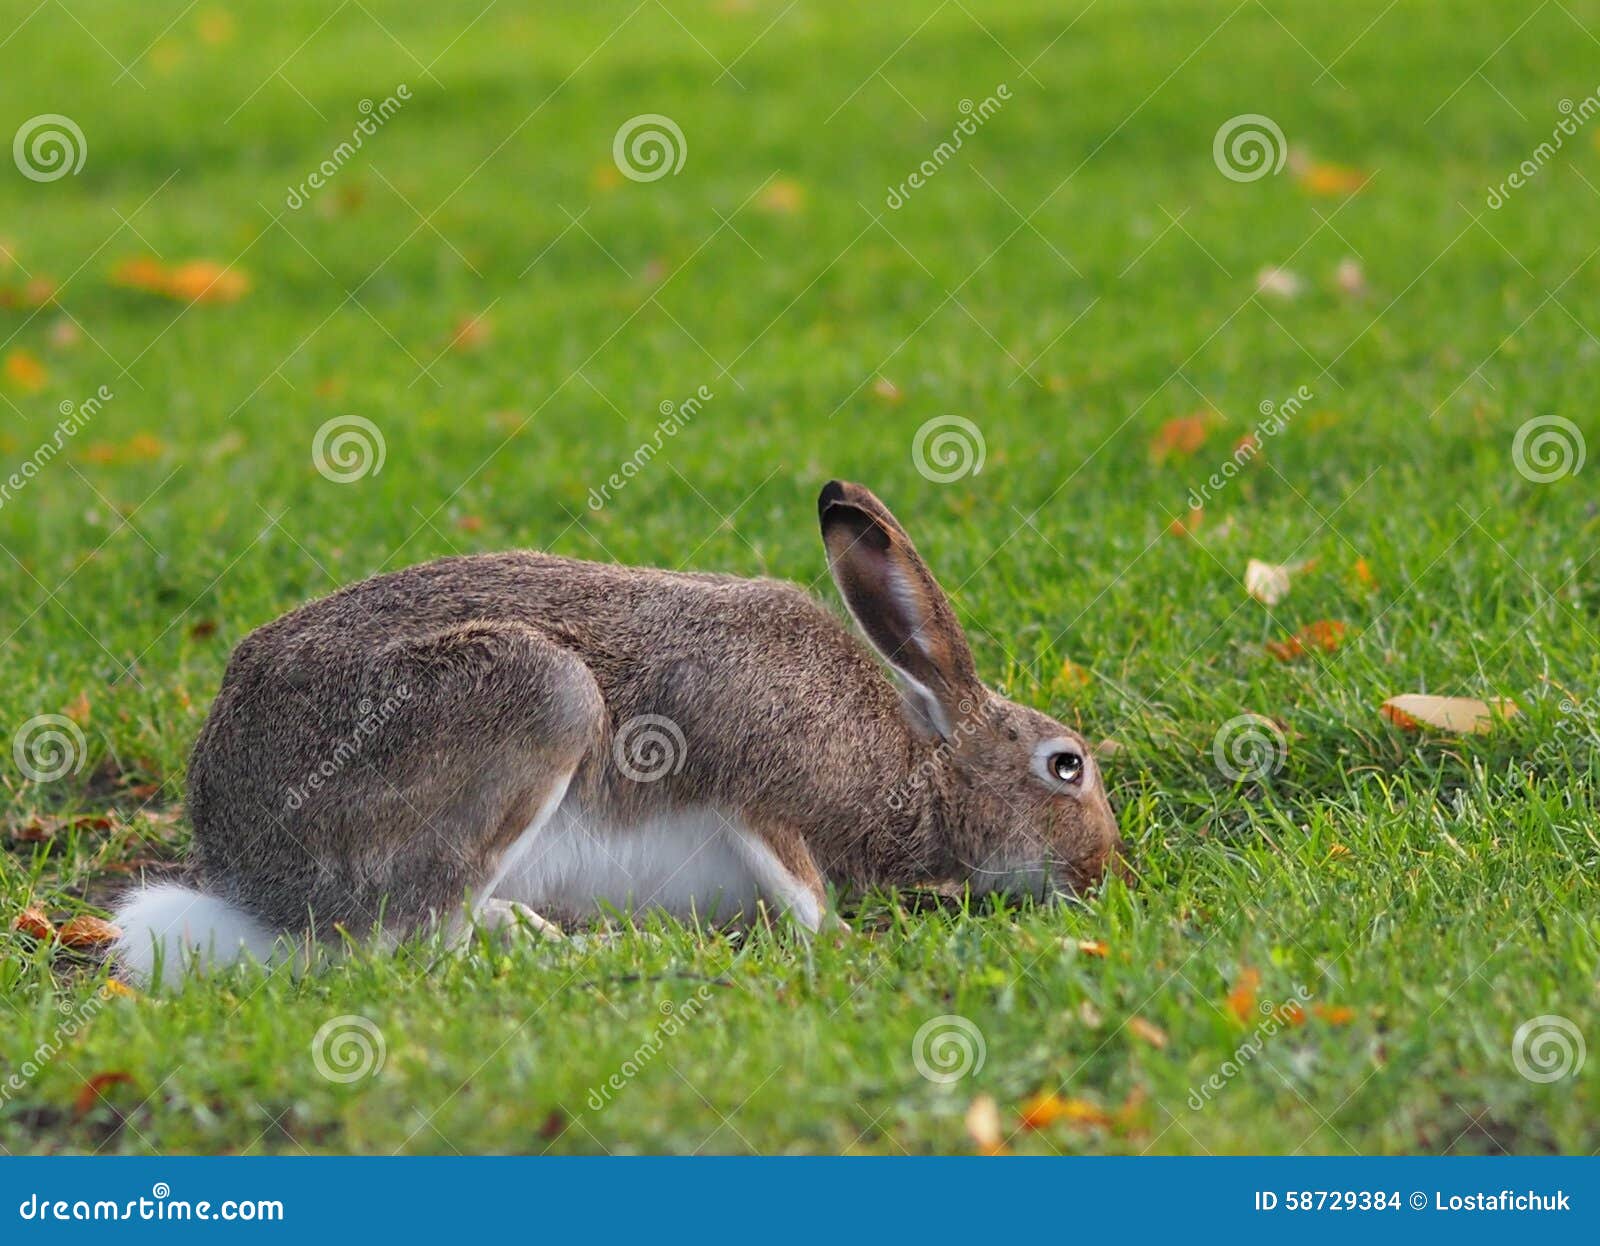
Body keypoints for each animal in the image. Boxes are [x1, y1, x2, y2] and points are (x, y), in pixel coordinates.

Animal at [114, 480, 1119, 983]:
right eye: (1065, 766)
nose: (1103, 873)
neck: (922, 771)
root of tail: (245, 875)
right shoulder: (759, 784)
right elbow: (799, 888)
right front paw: (843, 942)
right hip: (539, 697)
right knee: (417, 944)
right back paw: (599, 949)